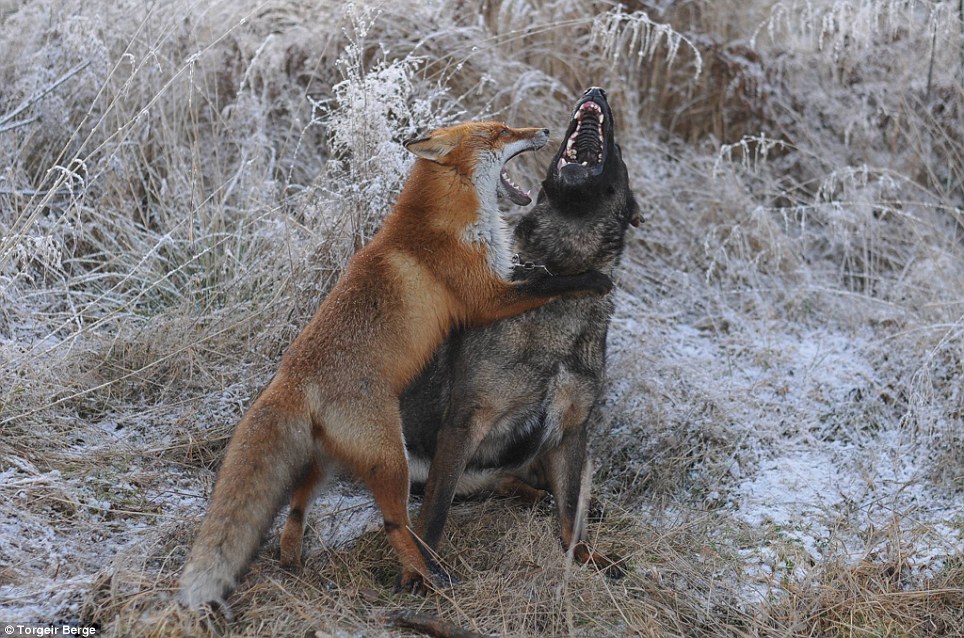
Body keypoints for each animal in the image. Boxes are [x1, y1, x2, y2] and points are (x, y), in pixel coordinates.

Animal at [178, 121, 614, 614]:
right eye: (499, 131)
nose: (543, 128)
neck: (446, 221)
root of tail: (289, 378)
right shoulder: (488, 298)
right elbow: (551, 283)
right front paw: (593, 279)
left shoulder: (496, 287)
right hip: (393, 462)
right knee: (397, 525)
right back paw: (428, 575)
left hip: (334, 458)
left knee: (299, 498)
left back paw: (292, 555)